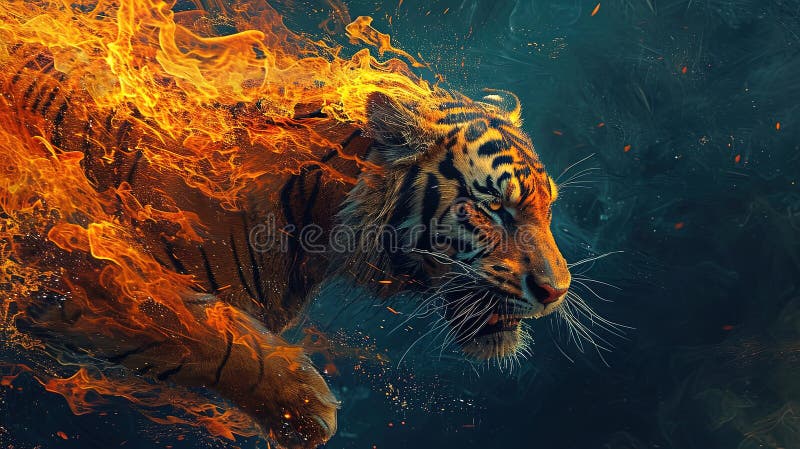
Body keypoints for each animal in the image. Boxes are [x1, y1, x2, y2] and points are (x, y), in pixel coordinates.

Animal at [0, 16, 570, 449]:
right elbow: (209, 332)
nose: (557, 291)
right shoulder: (85, 269)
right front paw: (305, 409)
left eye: (547, 208)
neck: (319, 221)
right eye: (493, 208)